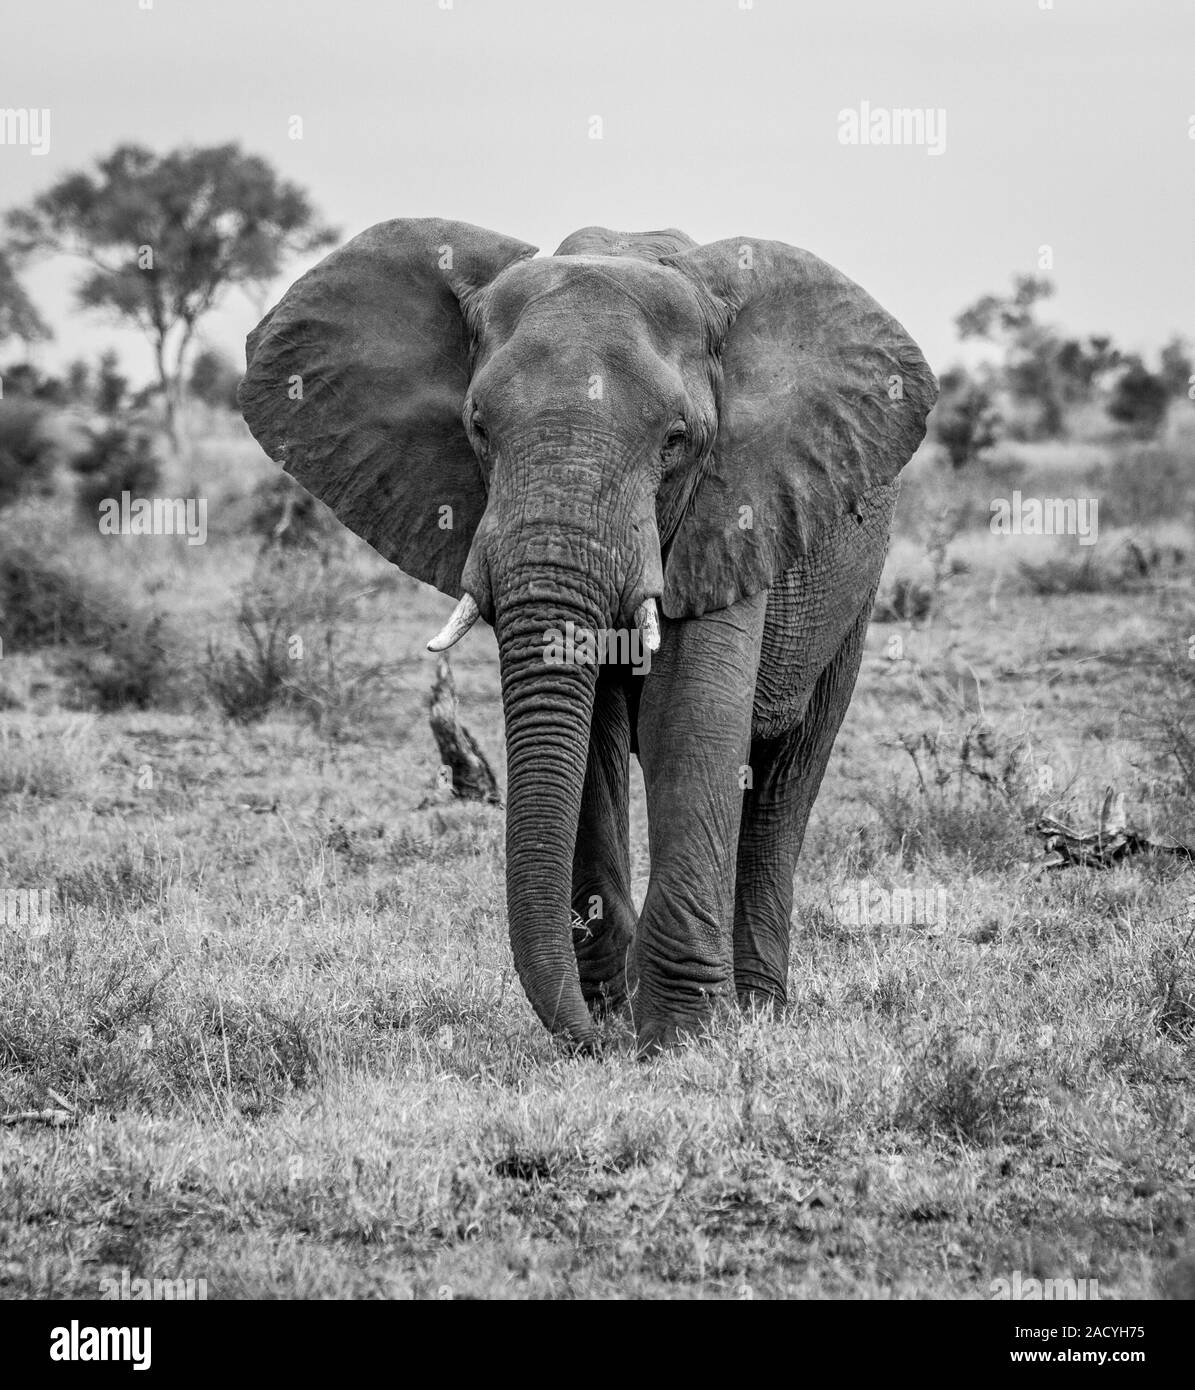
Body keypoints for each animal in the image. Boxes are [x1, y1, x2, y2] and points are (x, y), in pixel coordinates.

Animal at [238, 218, 937, 1055]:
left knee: (785, 773)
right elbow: (591, 742)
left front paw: (681, 1038)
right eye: (477, 427)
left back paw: (758, 1008)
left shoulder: (733, 507)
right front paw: (615, 1014)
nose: (598, 1042)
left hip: (850, 590)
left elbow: (690, 720)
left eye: (675, 441)